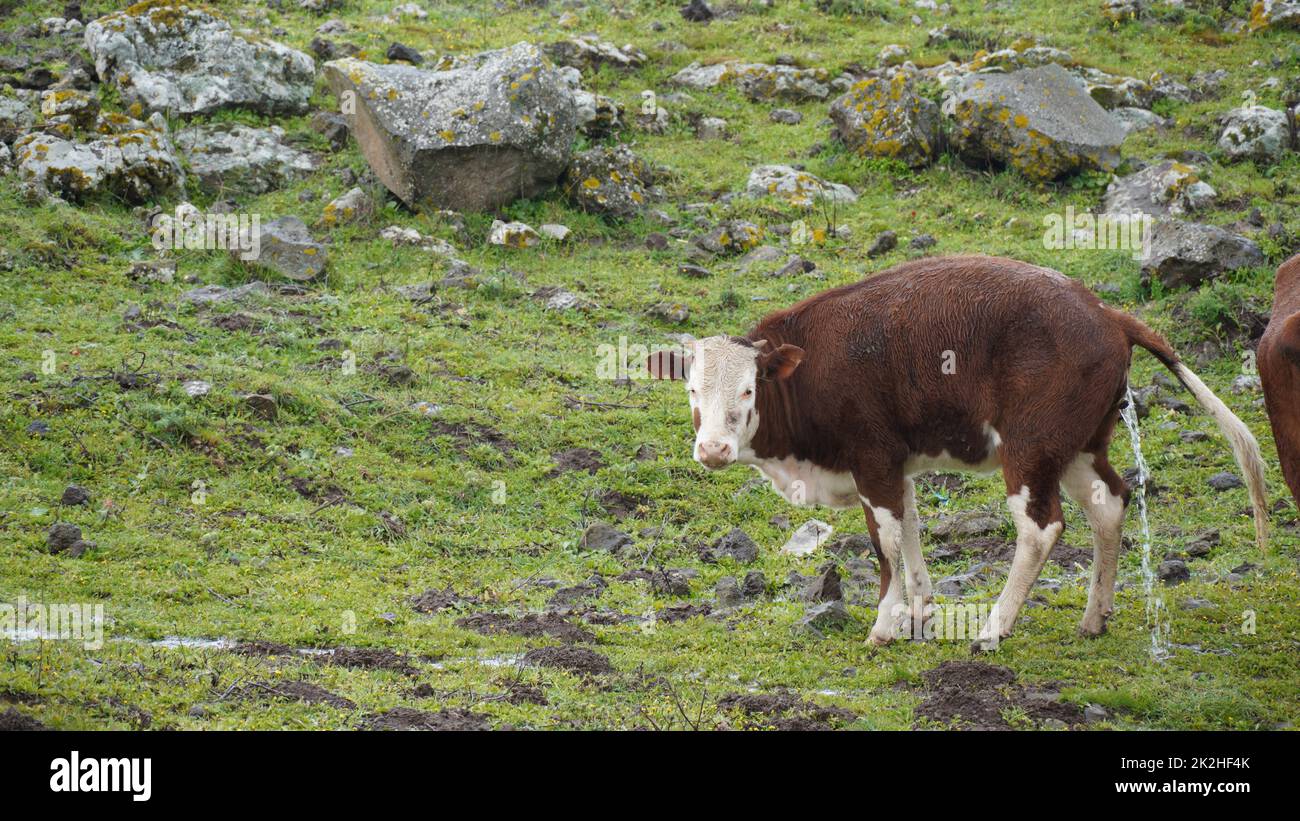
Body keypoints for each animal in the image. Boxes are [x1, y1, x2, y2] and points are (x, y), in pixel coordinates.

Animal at [647, 255, 1268, 652]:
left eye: (748, 391)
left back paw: (994, 628)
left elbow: (886, 544)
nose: (713, 449)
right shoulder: (896, 467)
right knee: (1109, 503)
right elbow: (911, 534)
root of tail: (1105, 311)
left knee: (1040, 528)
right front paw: (919, 614)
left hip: (1030, 449)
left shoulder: (873, 460)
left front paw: (884, 627)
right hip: (1077, 447)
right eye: (692, 390)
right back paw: (1094, 617)